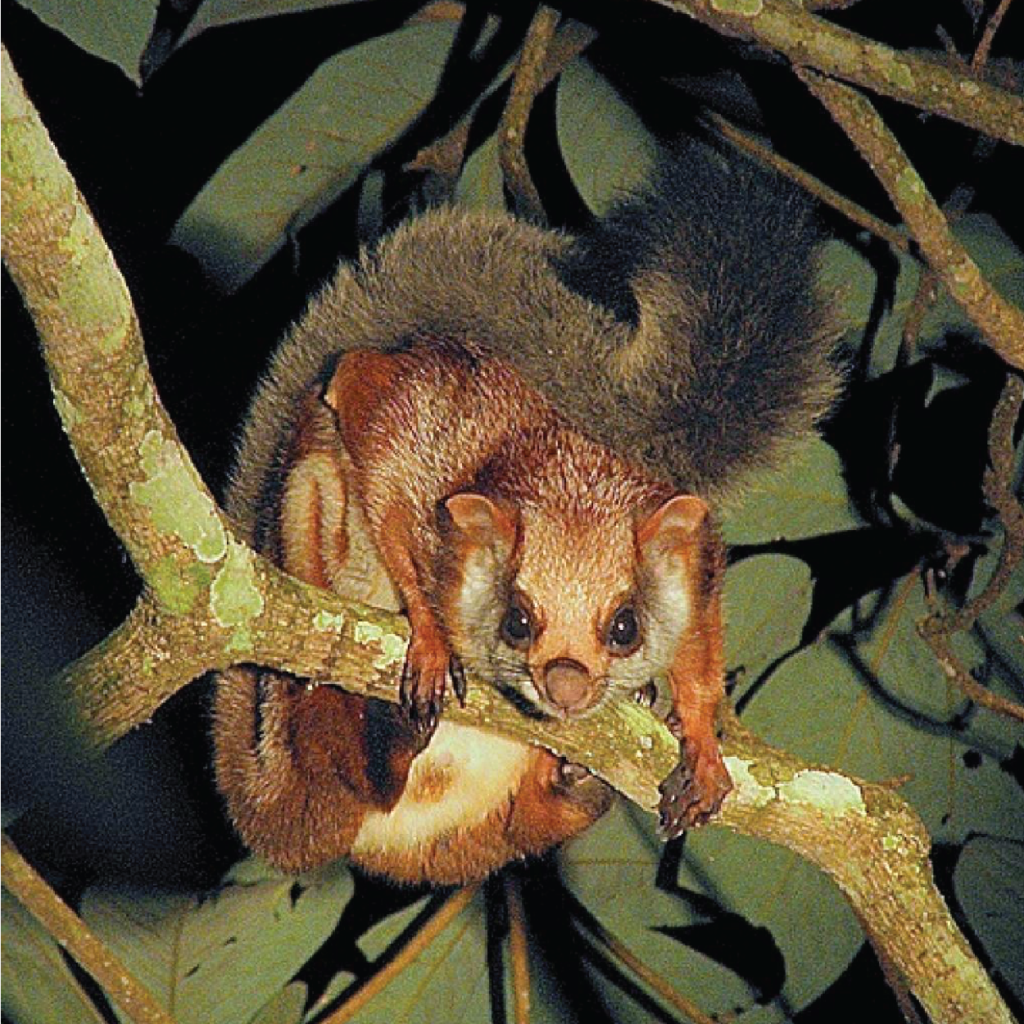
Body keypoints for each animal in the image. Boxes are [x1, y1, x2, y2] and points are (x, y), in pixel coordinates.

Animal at [212, 143, 840, 885]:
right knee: (320, 733)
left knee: (528, 821)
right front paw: (430, 638)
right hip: (304, 530)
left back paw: (573, 780)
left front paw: (703, 743)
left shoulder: (692, 558)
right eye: (517, 619)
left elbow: (699, 638)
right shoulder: (409, 433)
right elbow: (378, 464)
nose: (565, 682)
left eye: (625, 626)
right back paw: (377, 738)